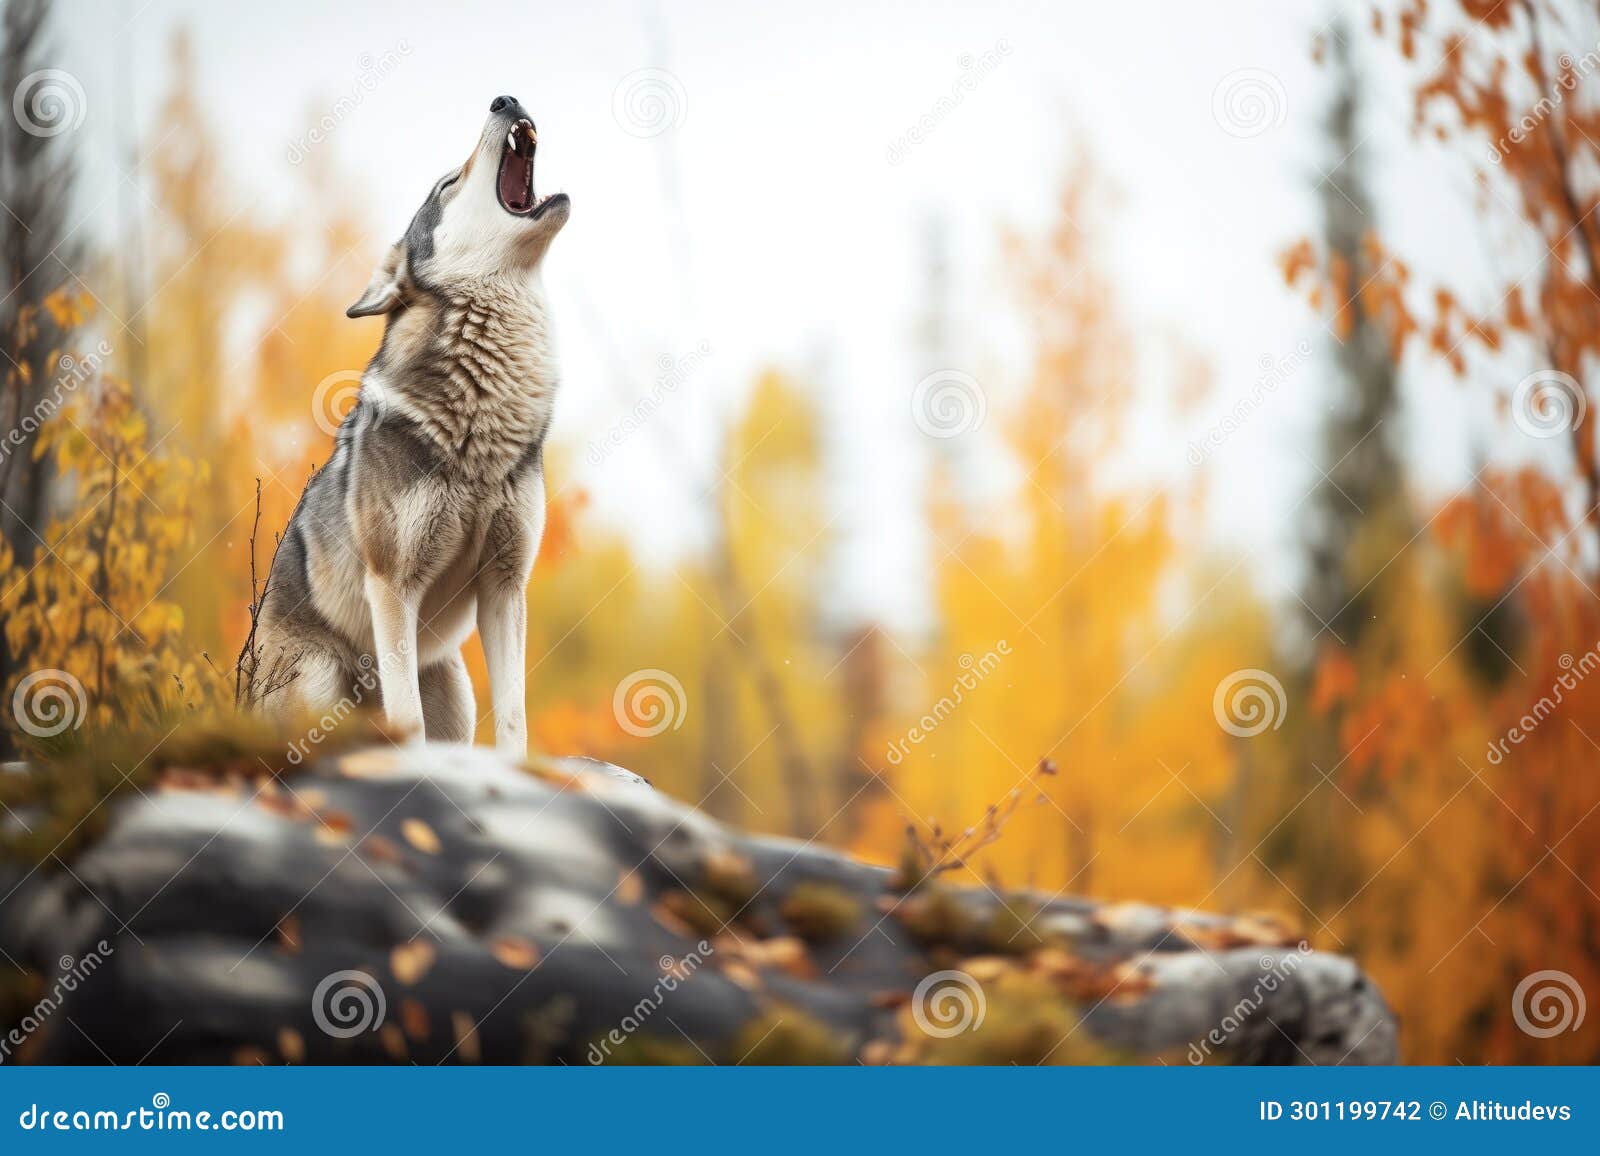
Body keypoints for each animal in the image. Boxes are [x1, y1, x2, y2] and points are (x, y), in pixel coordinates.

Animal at [251, 95, 570, 753]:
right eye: (449, 184)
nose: (505, 99)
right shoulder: (391, 586)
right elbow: (407, 720)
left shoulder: (505, 587)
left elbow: (514, 721)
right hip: (322, 678)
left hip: (453, 688)